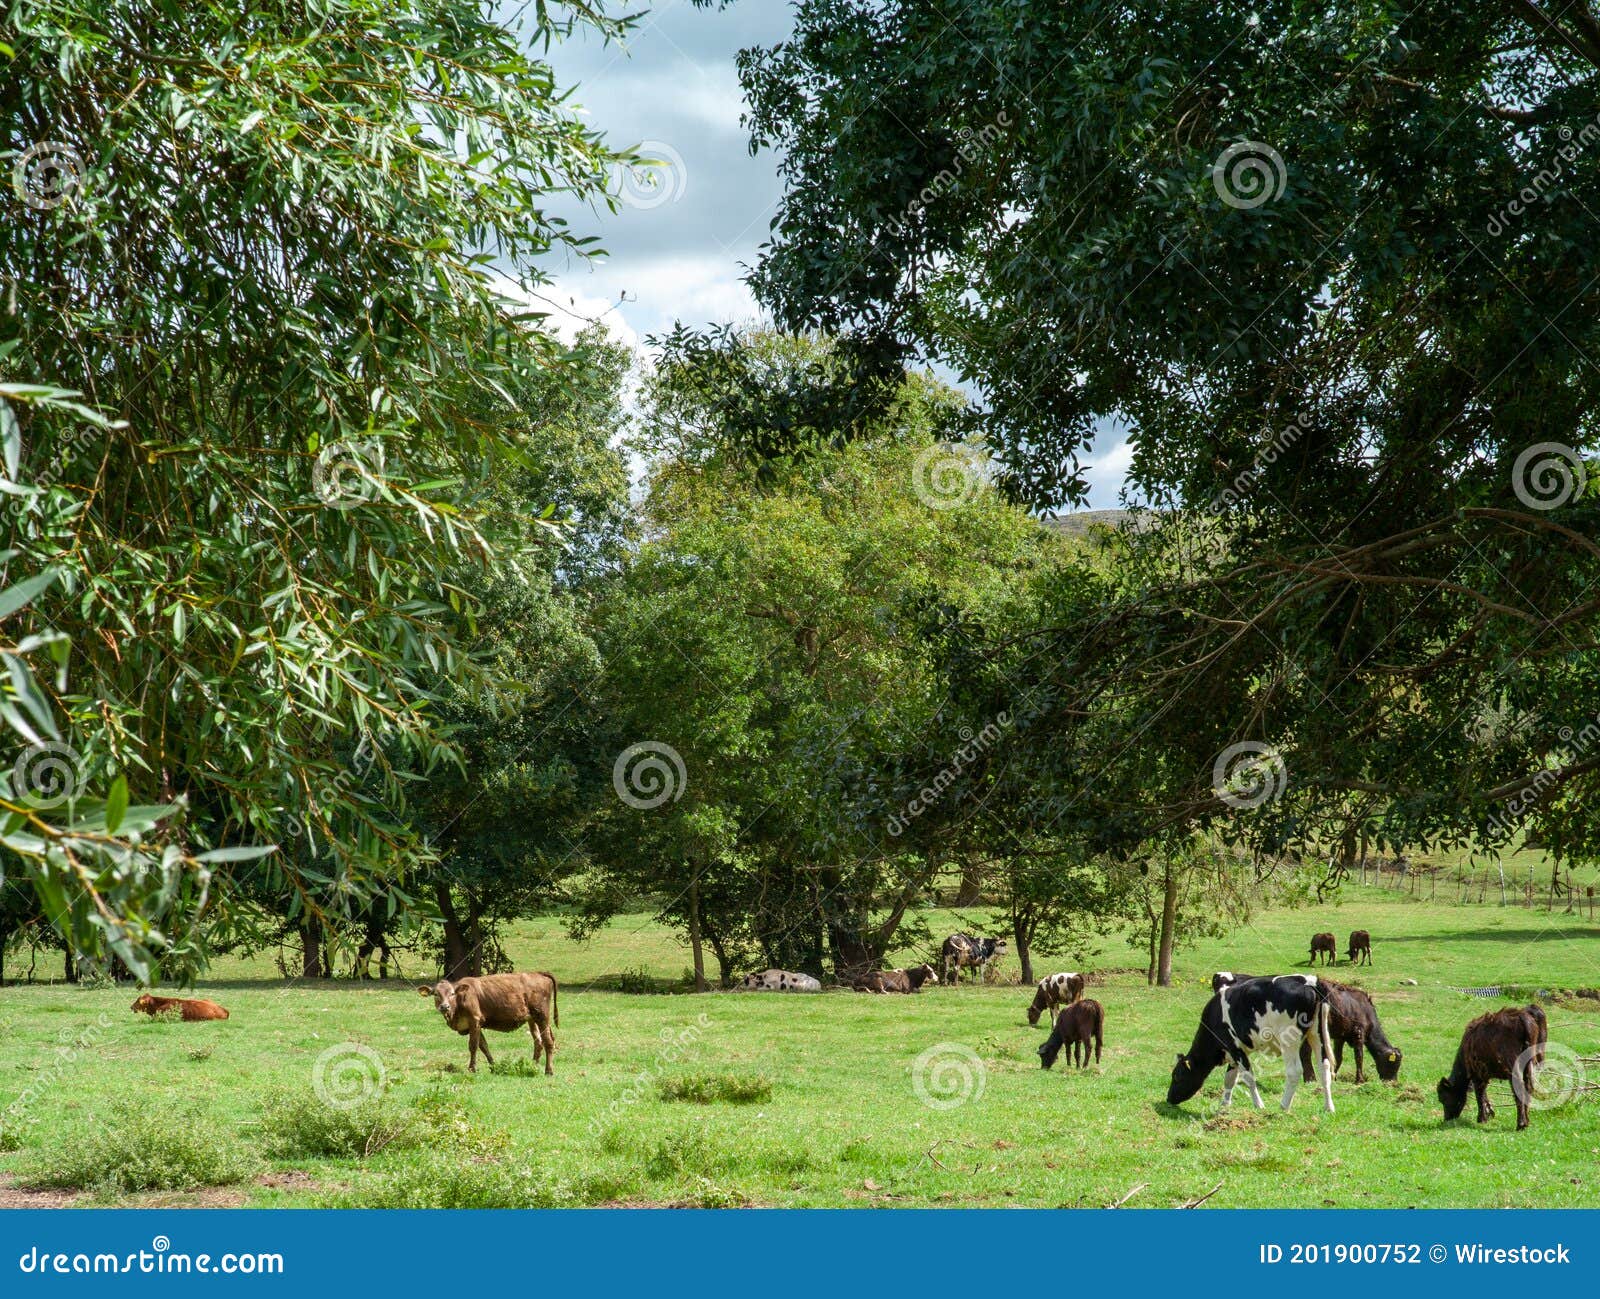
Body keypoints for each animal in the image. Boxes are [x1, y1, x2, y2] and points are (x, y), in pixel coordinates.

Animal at [418, 971, 558, 1074]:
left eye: (452, 993)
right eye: (436, 994)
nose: (444, 1006)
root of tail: (538, 973)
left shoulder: (474, 1020)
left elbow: (473, 1046)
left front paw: (472, 1068)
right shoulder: (476, 1025)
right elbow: (484, 1046)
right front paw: (494, 1066)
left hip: (542, 1016)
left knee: (548, 1041)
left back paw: (549, 1071)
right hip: (532, 1019)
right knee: (538, 1042)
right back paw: (532, 1066)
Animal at [1167, 974, 1335, 1113]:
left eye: (1176, 1076)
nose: (1168, 1098)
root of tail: (1308, 981)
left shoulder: (1235, 1048)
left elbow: (1248, 1078)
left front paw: (1259, 1105)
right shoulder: (1234, 1053)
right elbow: (1229, 1079)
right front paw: (1224, 1105)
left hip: (1289, 1040)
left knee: (1294, 1071)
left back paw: (1284, 1106)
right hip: (1317, 1034)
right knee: (1324, 1068)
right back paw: (1329, 1107)